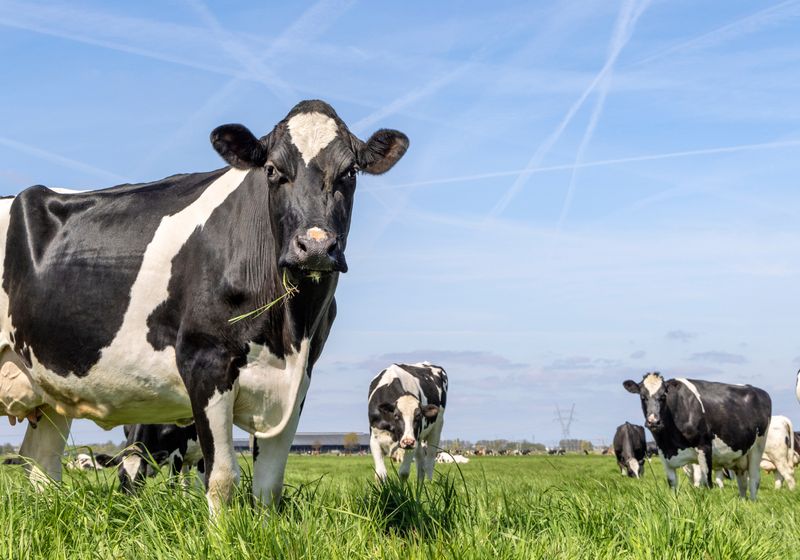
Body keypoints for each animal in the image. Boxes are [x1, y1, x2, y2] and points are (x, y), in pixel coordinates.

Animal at [0, 99, 409, 514]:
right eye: (273, 170)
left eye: (350, 172)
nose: (315, 247)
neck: (290, 330)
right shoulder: (204, 361)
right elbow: (222, 477)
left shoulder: (299, 379)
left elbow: (269, 485)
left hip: (47, 389)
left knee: (42, 464)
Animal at [623, 372, 771, 500]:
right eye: (643, 397)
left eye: (663, 396)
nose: (653, 421)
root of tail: (758, 390)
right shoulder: (663, 453)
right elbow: (672, 483)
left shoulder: (704, 447)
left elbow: (707, 482)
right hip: (739, 456)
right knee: (742, 481)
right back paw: (743, 501)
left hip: (758, 447)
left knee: (754, 479)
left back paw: (752, 501)